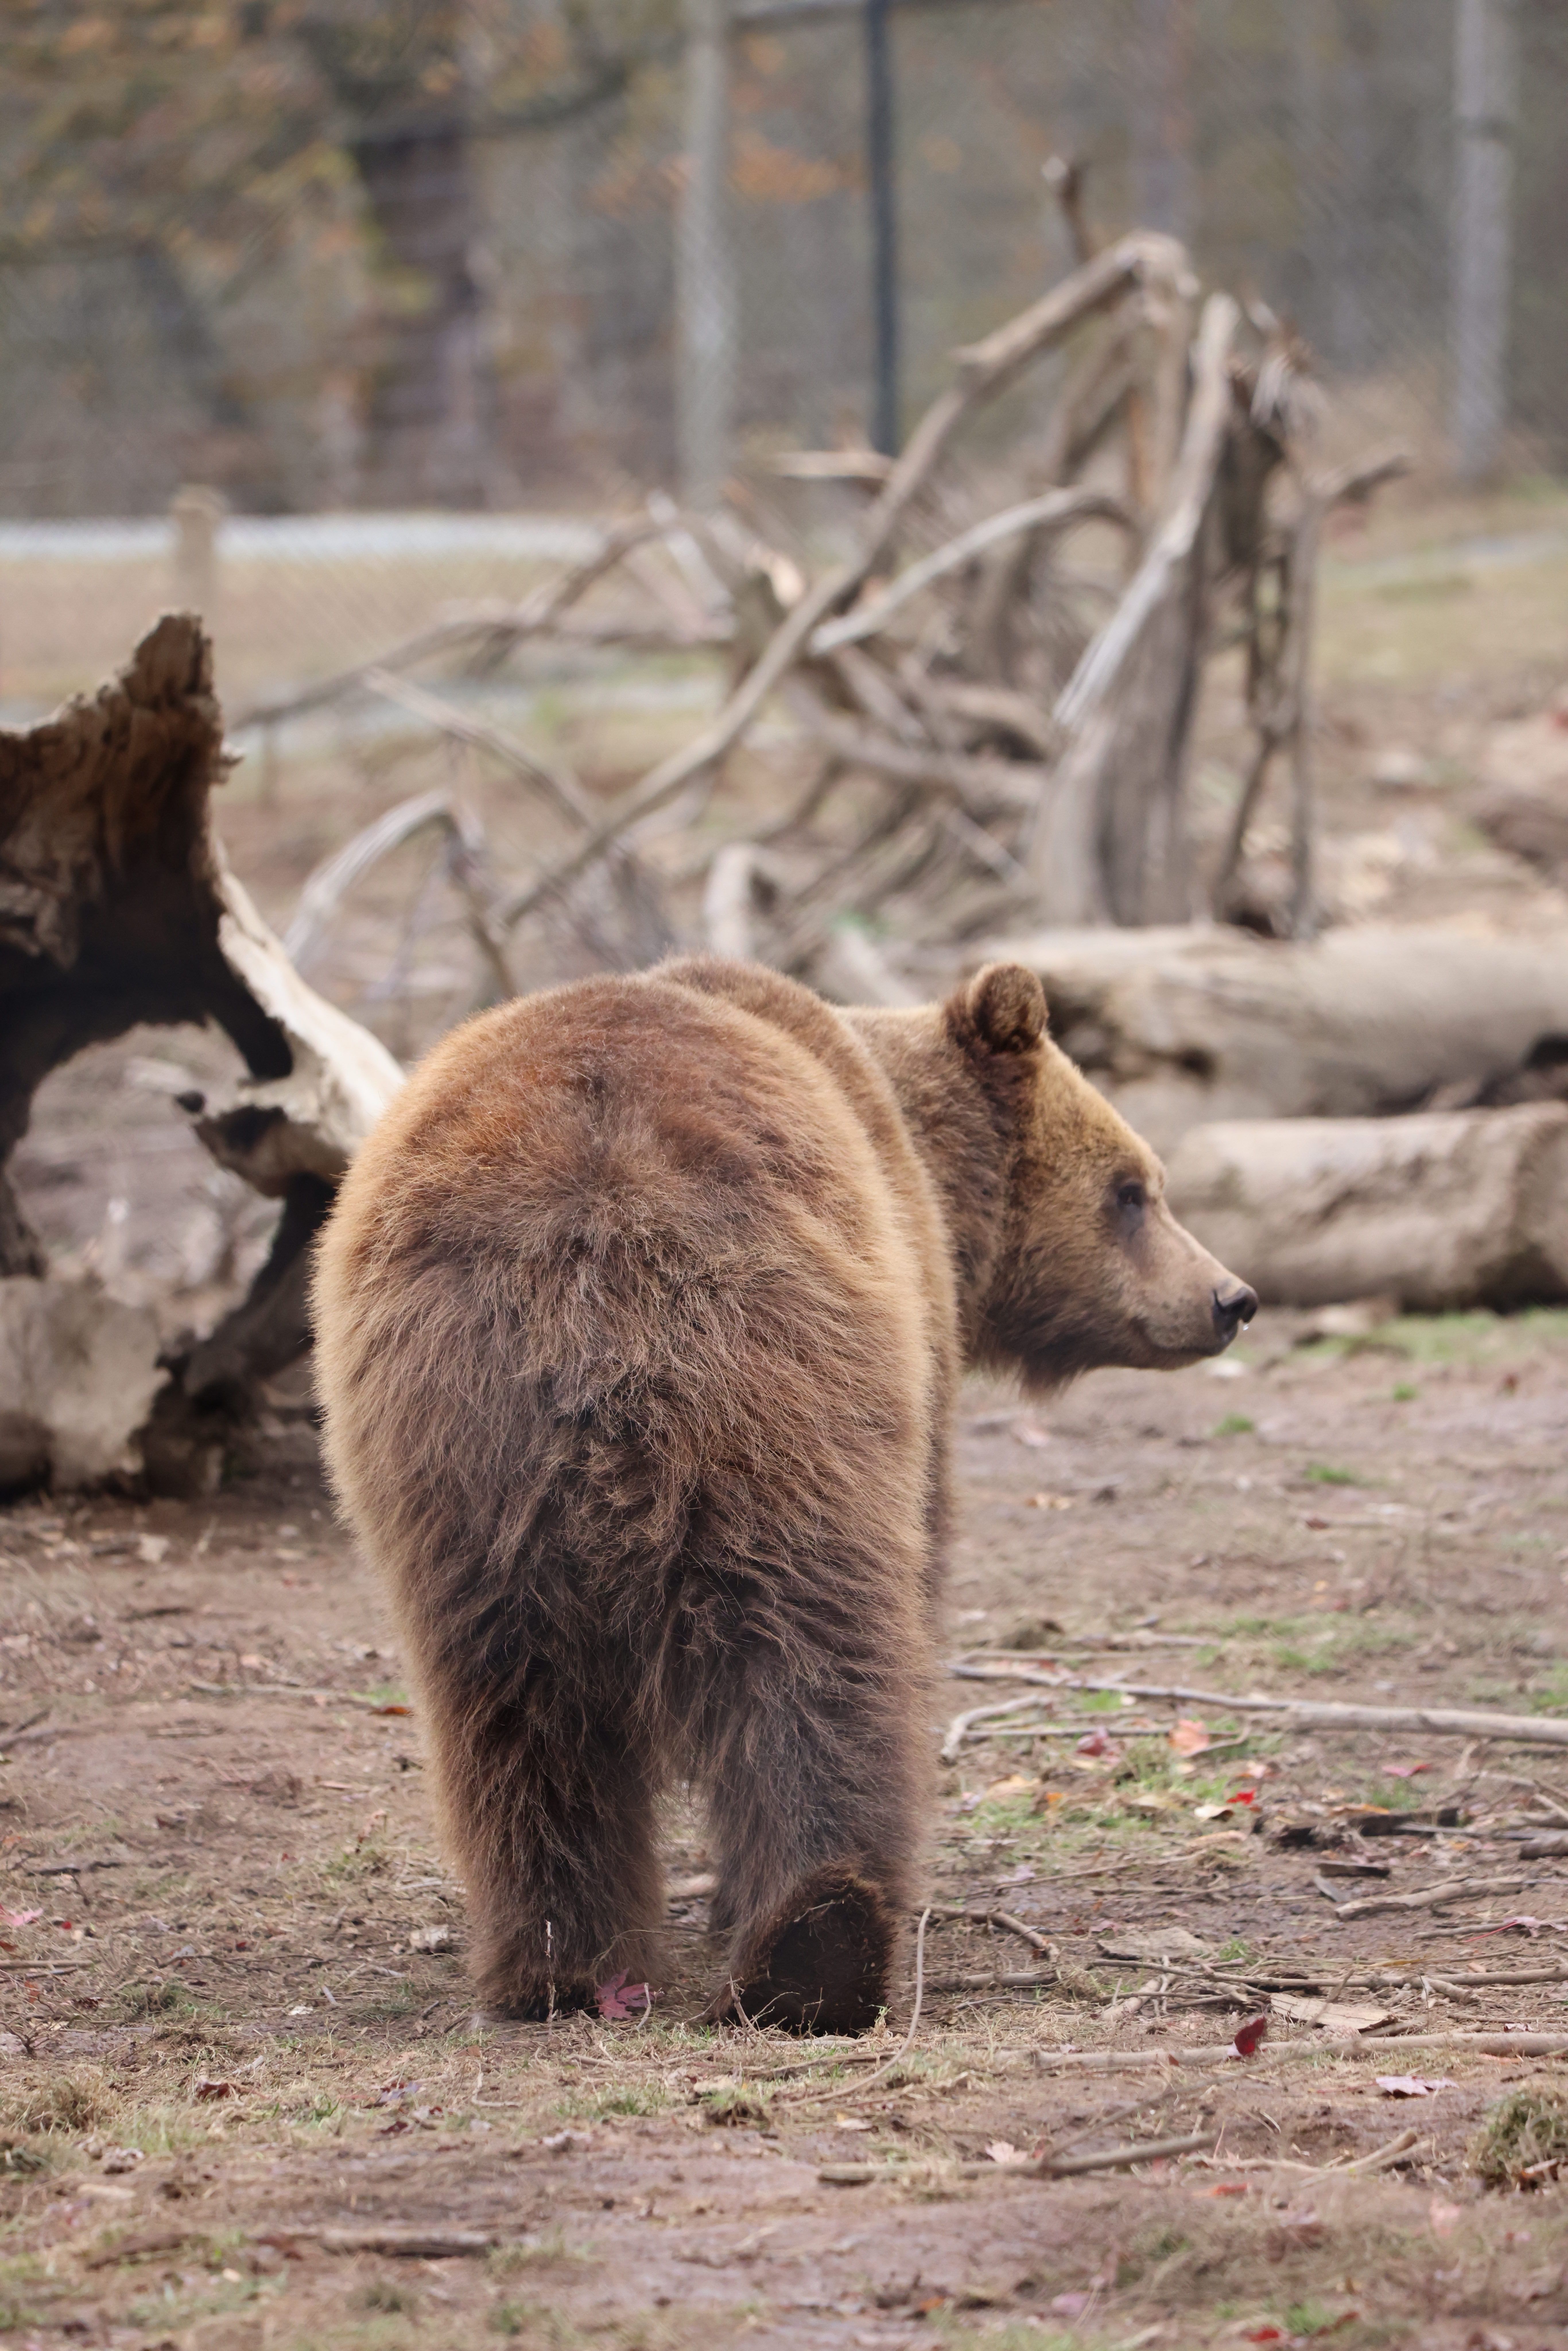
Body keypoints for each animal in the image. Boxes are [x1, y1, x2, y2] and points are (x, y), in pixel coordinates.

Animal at [312, 957, 1255, 2033]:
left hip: (456, 1440)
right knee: (811, 1656)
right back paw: (818, 1941)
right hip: (775, 1380)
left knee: (510, 1707)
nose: (1231, 1298)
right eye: (1132, 1189)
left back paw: (559, 1964)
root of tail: (586, 1232)